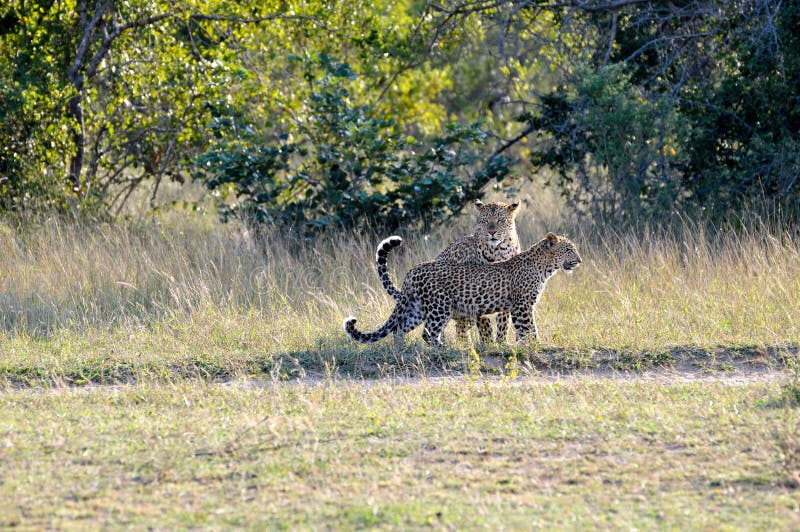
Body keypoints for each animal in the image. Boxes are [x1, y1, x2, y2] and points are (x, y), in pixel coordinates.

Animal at [346, 232, 581, 349]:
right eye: (569, 250)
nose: (579, 260)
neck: (545, 268)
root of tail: (413, 270)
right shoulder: (522, 305)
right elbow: (529, 328)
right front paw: (534, 345)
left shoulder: (520, 306)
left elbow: (528, 328)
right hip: (440, 307)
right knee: (427, 332)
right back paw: (446, 348)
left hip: (417, 308)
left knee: (399, 328)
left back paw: (401, 349)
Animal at [375, 199, 521, 345]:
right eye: (485, 221)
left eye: (500, 220)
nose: (491, 232)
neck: (499, 251)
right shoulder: (477, 292)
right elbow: (484, 321)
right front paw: (488, 342)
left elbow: (504, 320)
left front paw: (501, 342)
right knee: (453, 327)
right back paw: (461, 344)